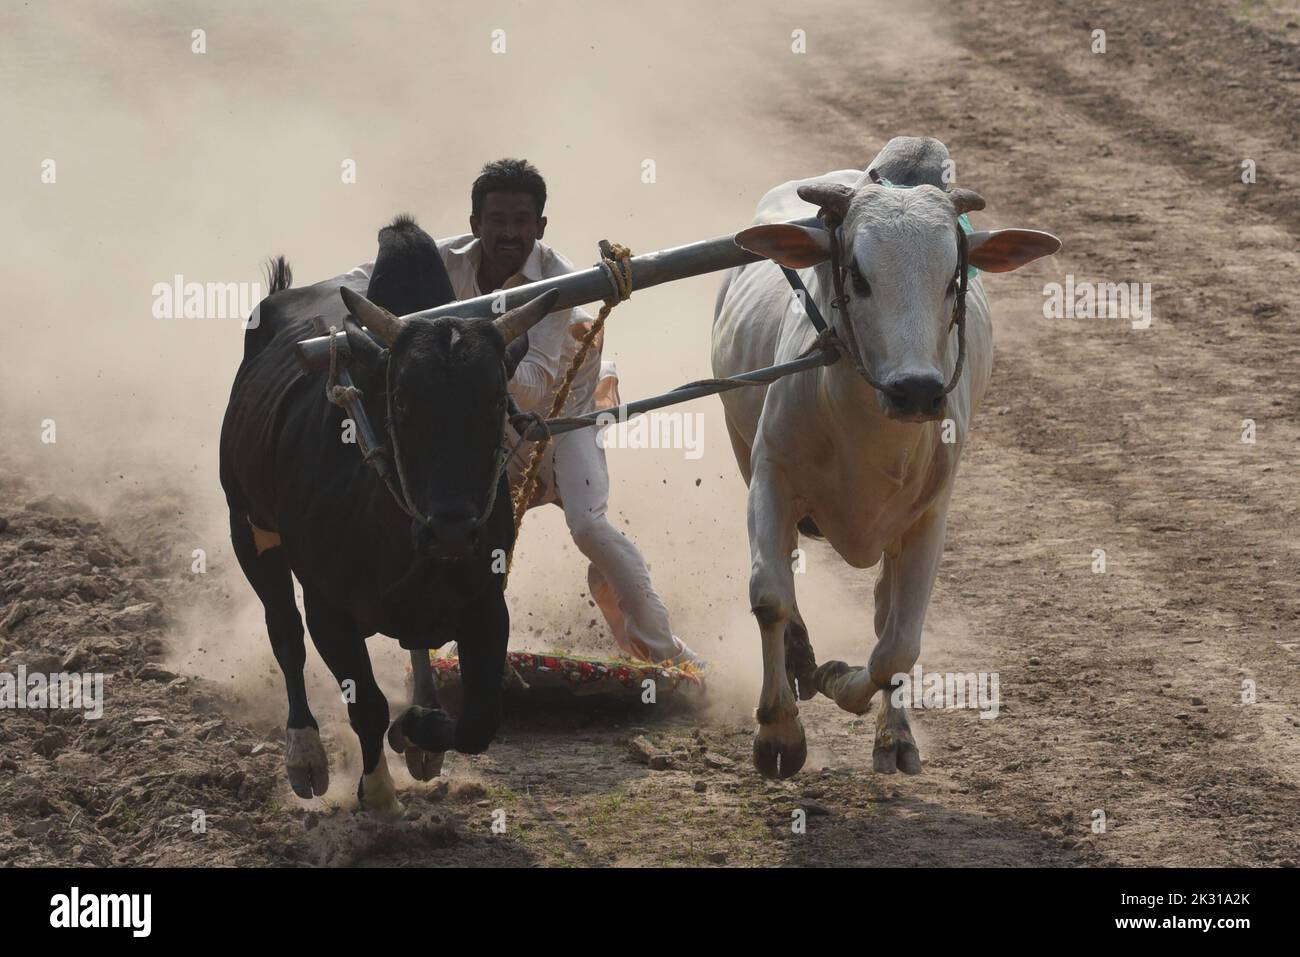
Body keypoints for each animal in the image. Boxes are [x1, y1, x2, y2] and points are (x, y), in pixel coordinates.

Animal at [219, 215, 557, 814]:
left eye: (497, 399)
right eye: (401, 399)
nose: (452, 530)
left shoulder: (486, 603)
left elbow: (479, 721)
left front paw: (419, 727)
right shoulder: (327, 609)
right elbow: (367, 704)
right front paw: (376, 788)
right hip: (248, 525)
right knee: (283, 632)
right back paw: (305, 753)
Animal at [711, 136, 1060, 779]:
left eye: (952, 279)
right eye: (858, 273)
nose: (917, 390)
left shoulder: (928, 517)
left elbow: (896, 642)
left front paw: (854, 694)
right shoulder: (770, 476)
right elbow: (770, 596)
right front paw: (778, 731)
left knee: (884, 616)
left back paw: (888, 725)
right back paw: (800, 662)